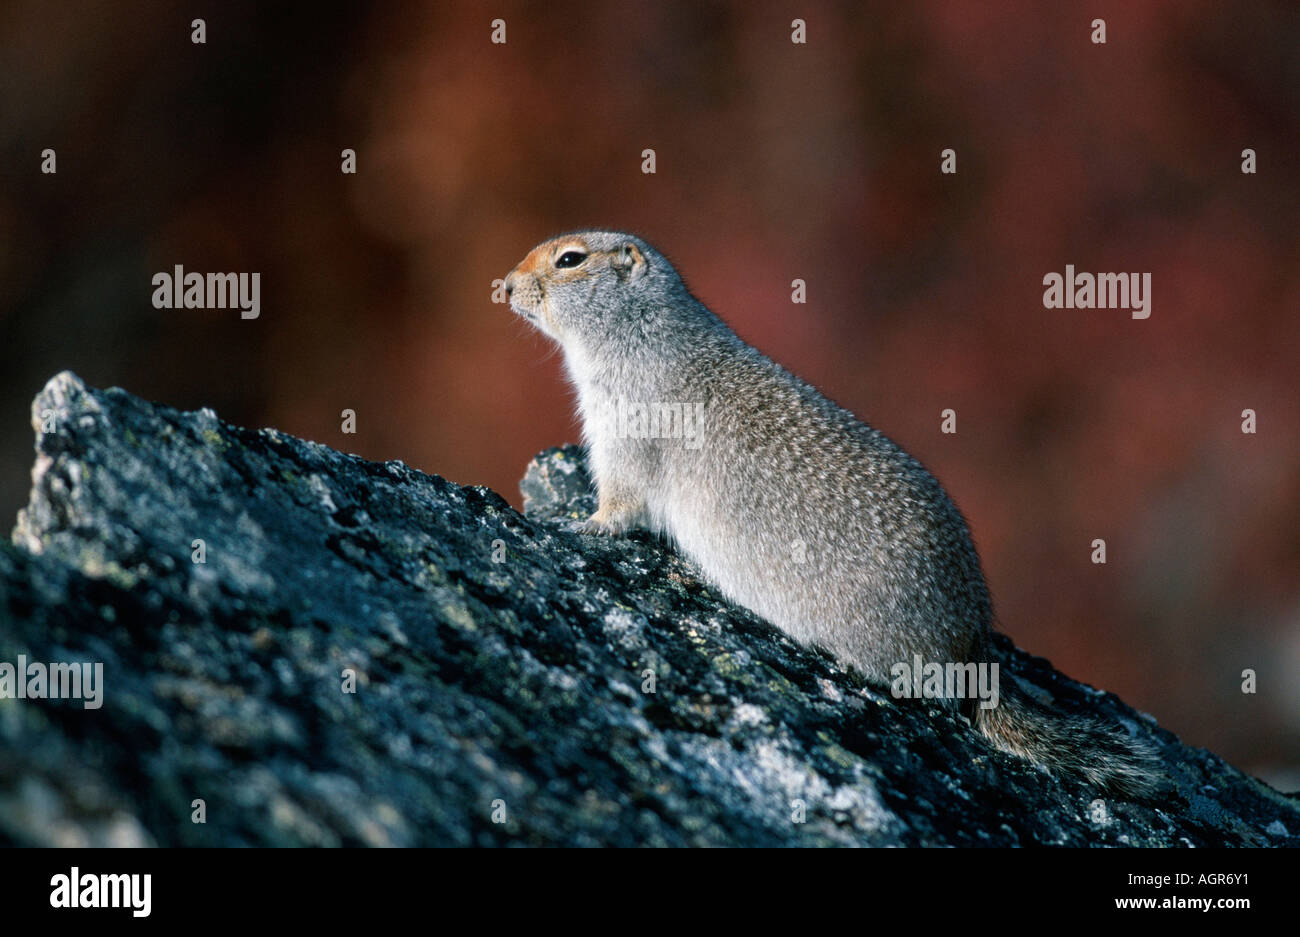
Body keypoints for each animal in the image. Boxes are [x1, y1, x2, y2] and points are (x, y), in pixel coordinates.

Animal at [504, 230, 1161, 797]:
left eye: (569, 259)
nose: (503, 286)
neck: (639, 333)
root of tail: (975, 642)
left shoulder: (625, 431)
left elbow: (621, 500)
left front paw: (580, 523)